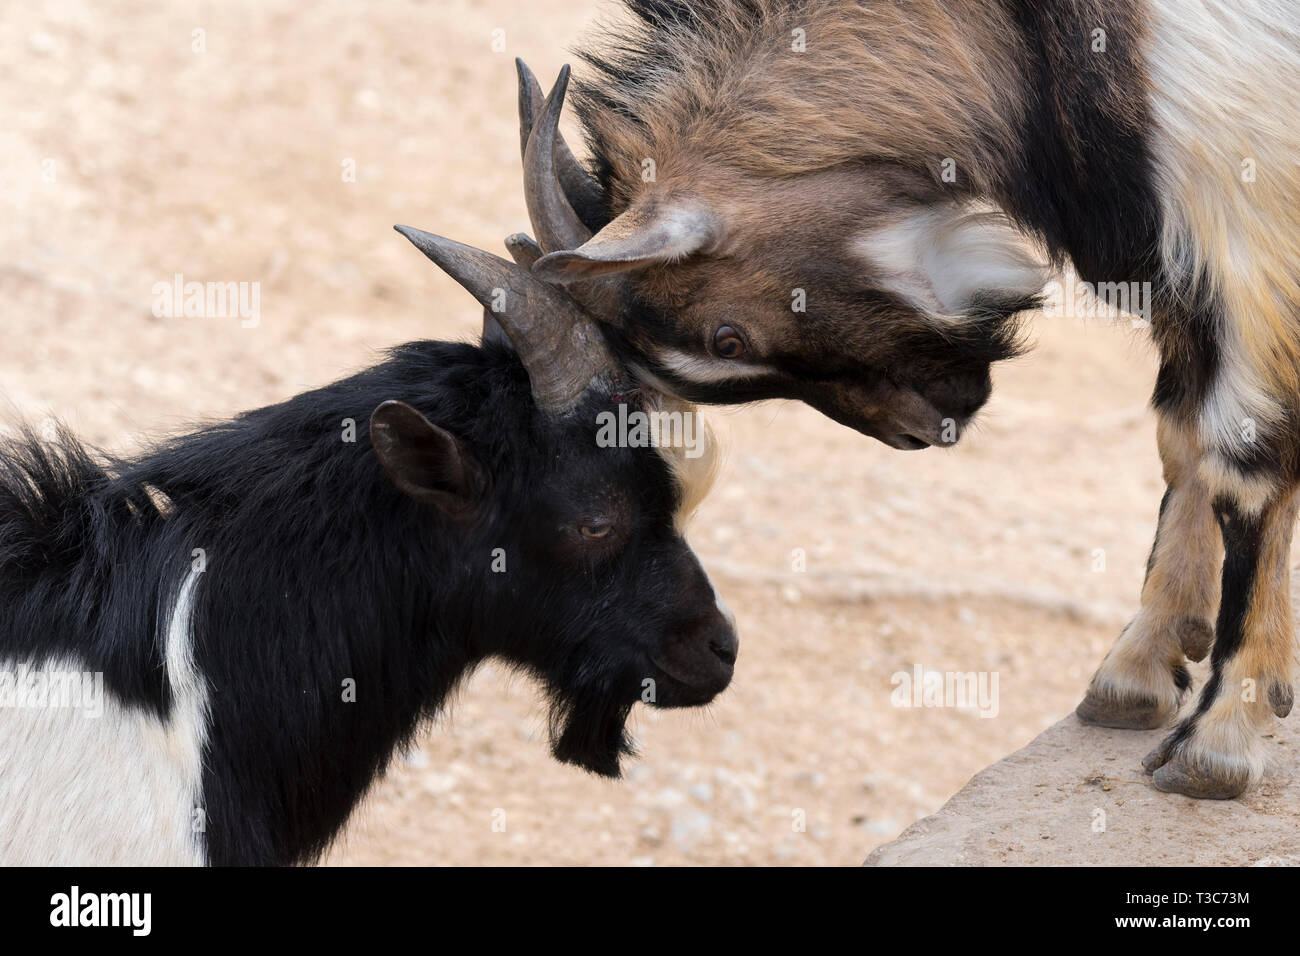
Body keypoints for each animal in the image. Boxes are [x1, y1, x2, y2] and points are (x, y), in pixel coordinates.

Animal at [508, 0, 1300, 799]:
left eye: (727, 339)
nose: (925, 426)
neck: (1021, 33)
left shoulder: (1244, 217)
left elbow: (1245, 465)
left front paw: (1218, 740)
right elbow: (1181, 437)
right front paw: (1141, 668)